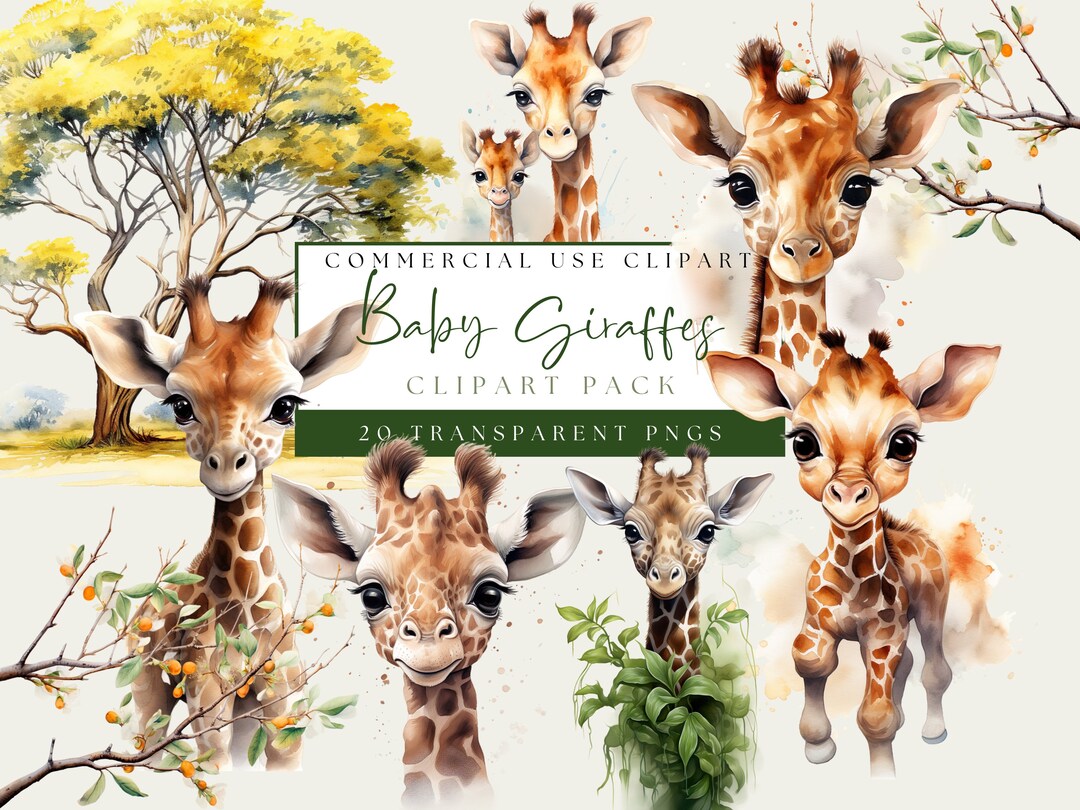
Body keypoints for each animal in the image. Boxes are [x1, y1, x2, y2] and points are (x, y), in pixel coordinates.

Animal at [76, 275, 380, 768]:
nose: (225, 471)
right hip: (147, 688)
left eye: (286, 406)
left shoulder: (281, 697)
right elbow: (211, 765)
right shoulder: (207, 694)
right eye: (180, 405)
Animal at [704, 329, 999, 776]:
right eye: (803, 443)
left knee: (934, 669)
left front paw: (883, 775)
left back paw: (933, 730)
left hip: (931, 609)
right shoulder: (817, 622)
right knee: (907, 664)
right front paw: (818, 746)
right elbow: (810, 662)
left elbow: (875, 716)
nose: (847, 498)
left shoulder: (882, 632)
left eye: (904, 443)